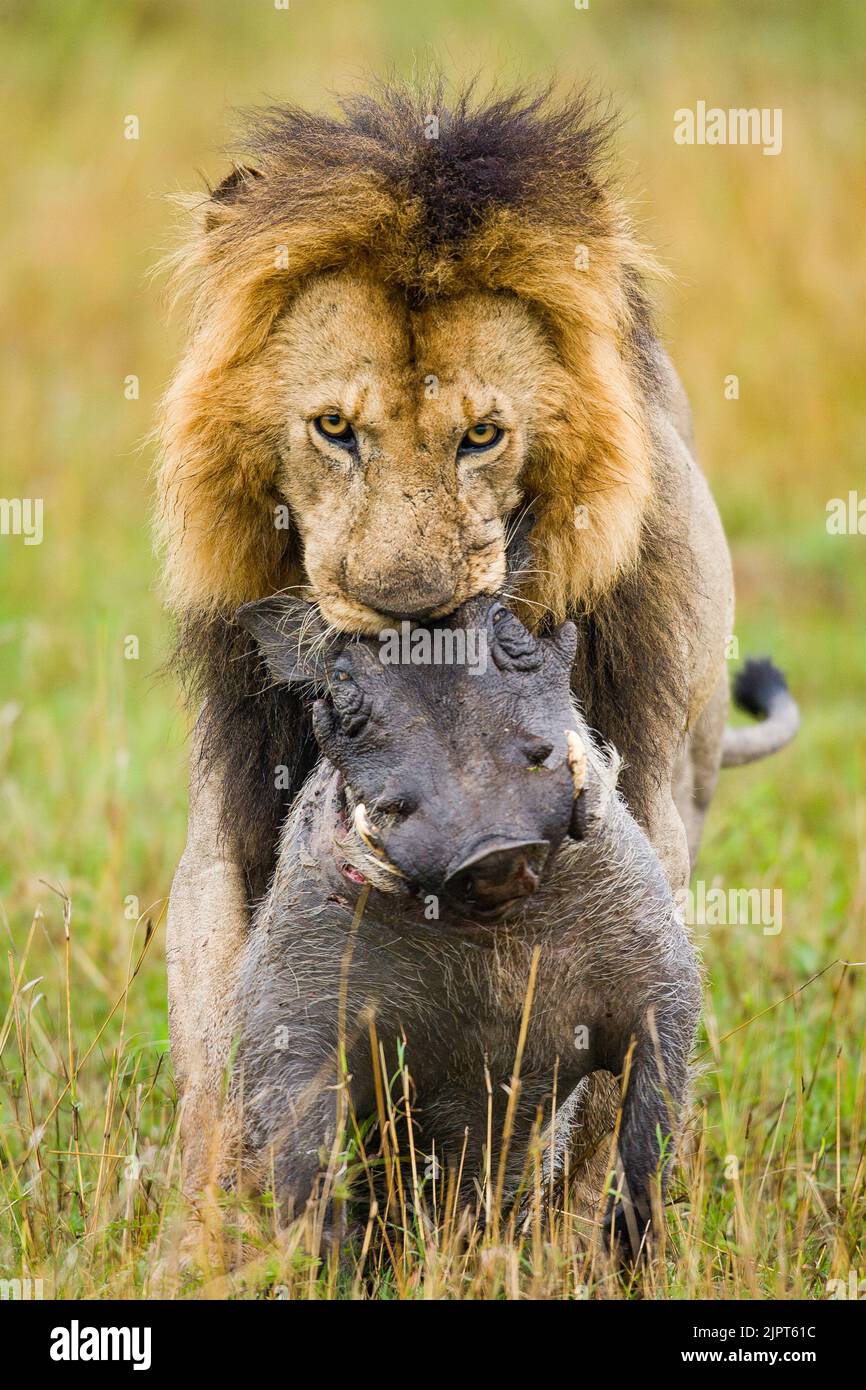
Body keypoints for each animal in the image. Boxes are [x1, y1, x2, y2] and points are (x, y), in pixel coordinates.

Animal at [157, 83, 796, 1197]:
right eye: (333, 428)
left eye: (482, 437)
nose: (410, 616)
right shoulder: (234, 811)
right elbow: (221, 1049)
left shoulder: (638, 822)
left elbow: (601, 1103)